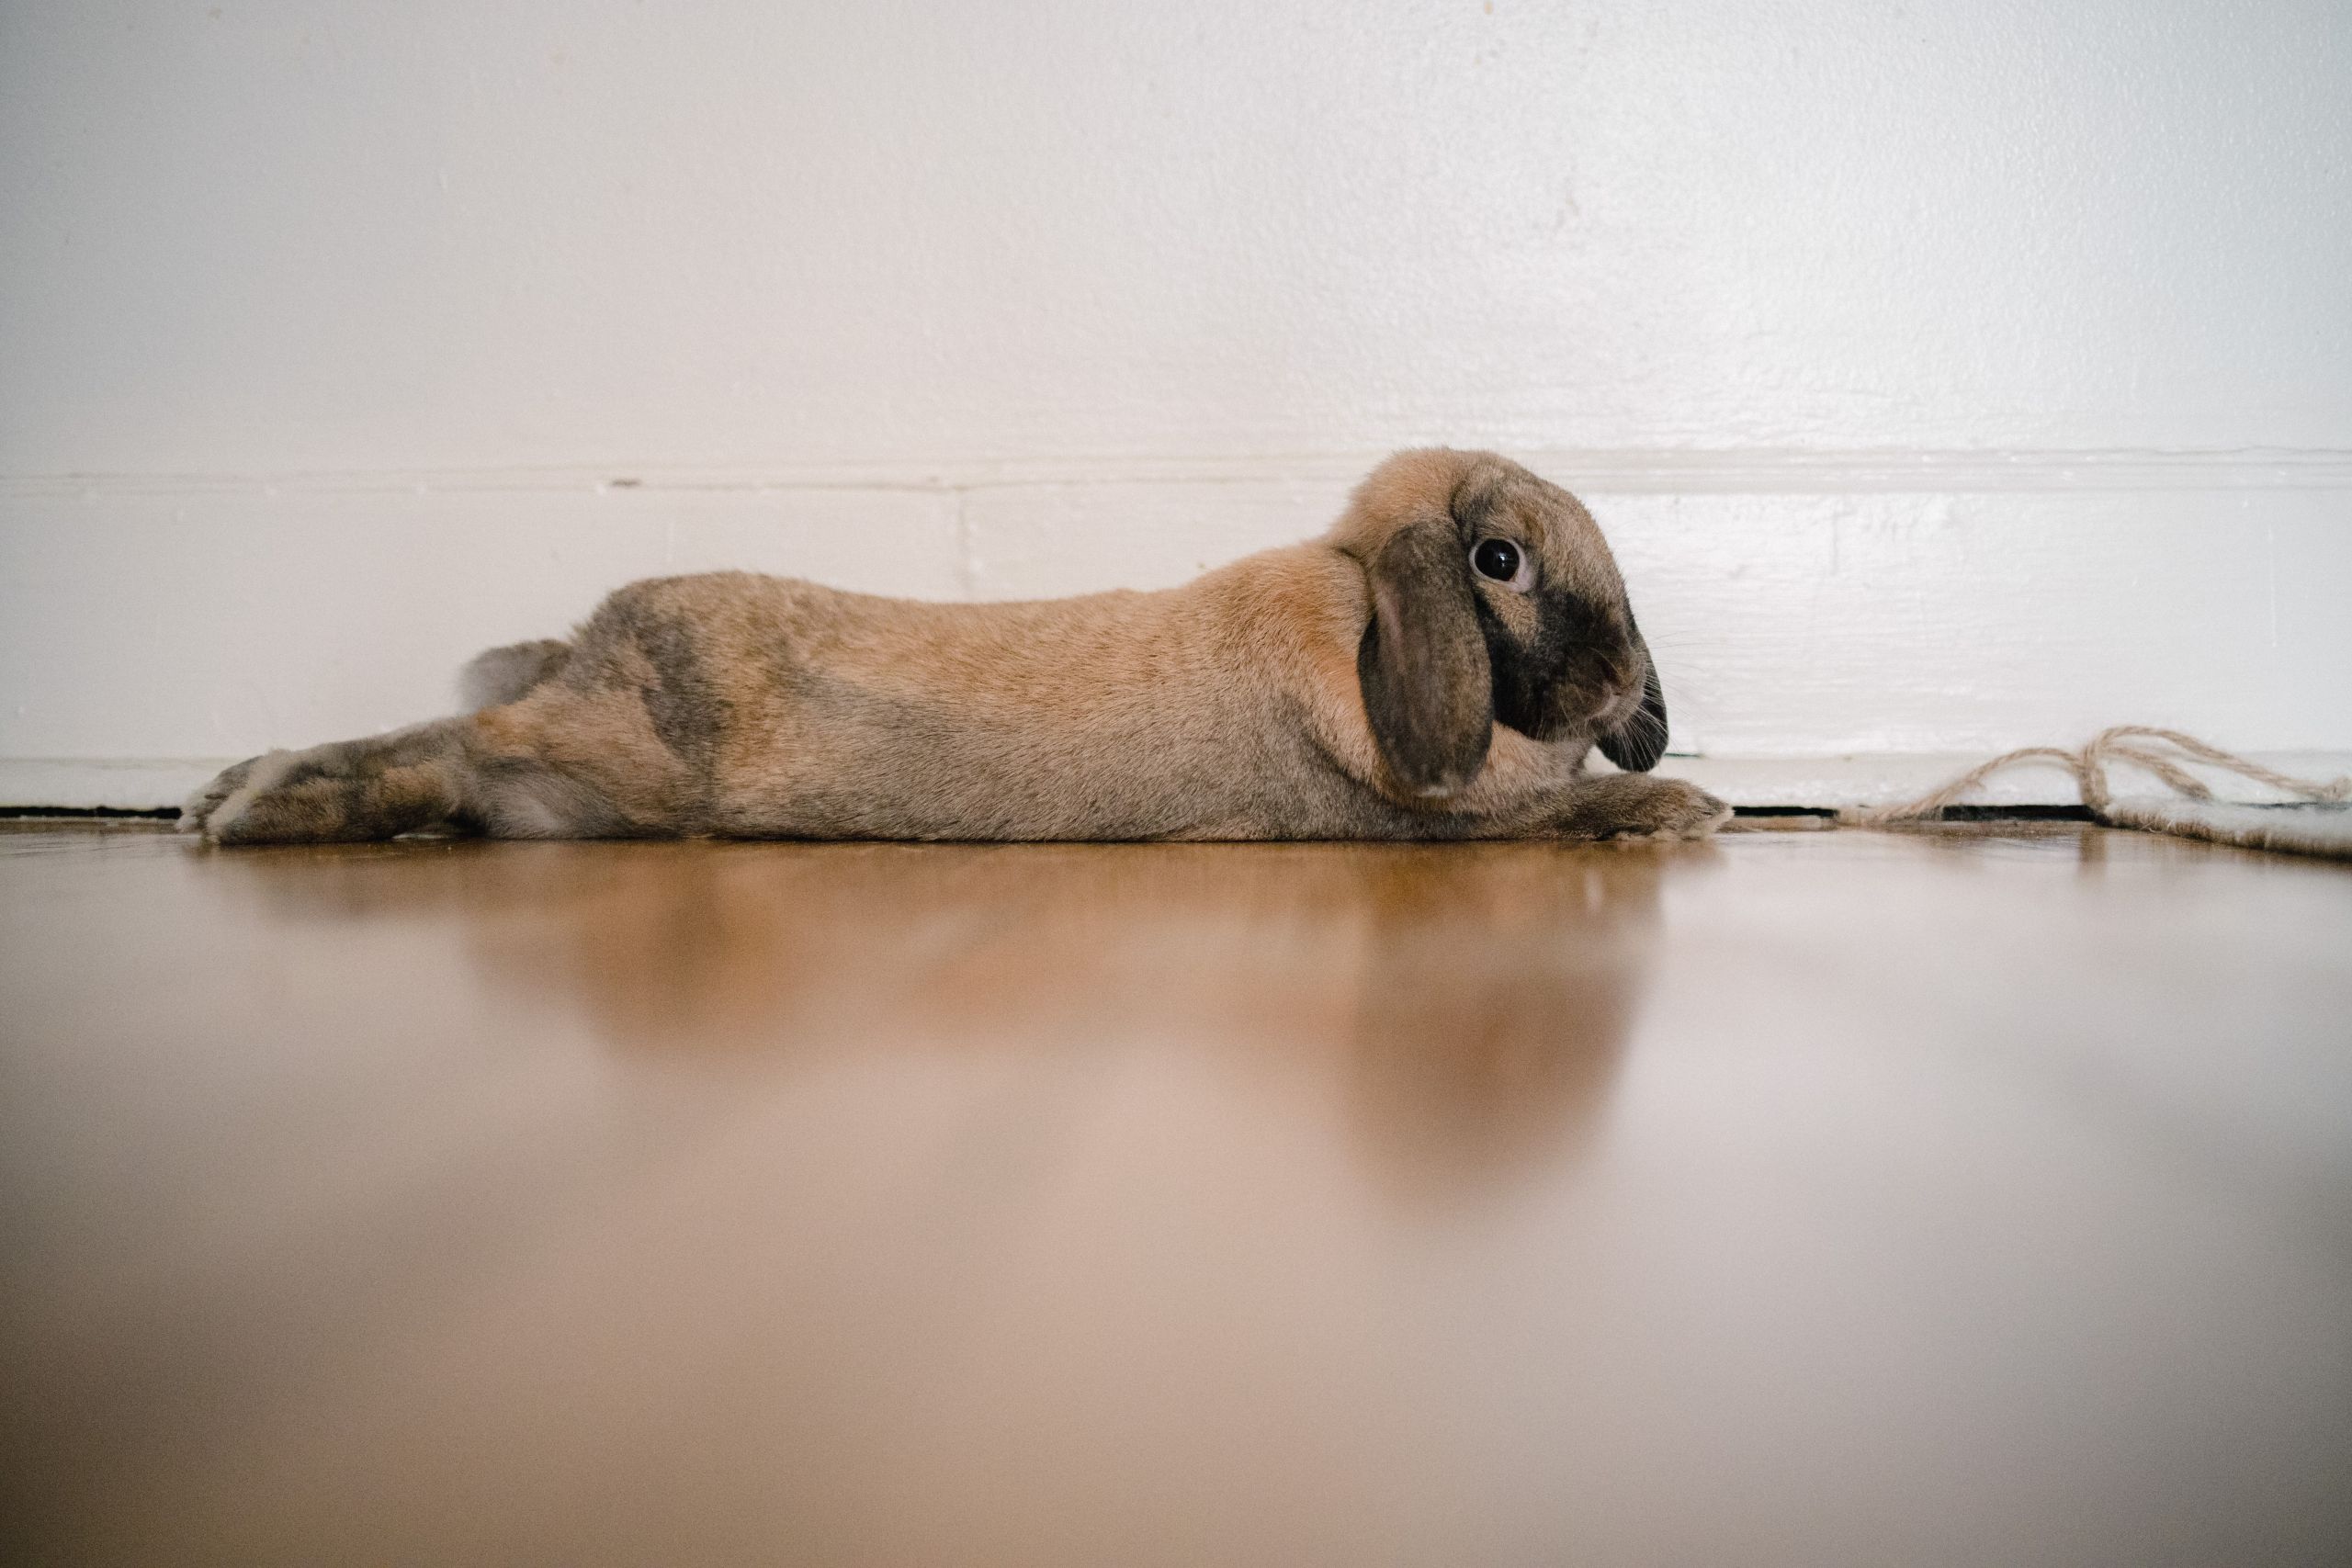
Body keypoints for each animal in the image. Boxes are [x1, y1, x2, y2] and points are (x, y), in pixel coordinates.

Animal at [179, 448, 1728, 845]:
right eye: (1497, 562)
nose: (1620, 689)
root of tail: (589, 642)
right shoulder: (1411, 823)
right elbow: (1555, 817)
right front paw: (1683, 803)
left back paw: (228, 788)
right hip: (621, 758)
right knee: (444, 745)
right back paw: (252, 804)